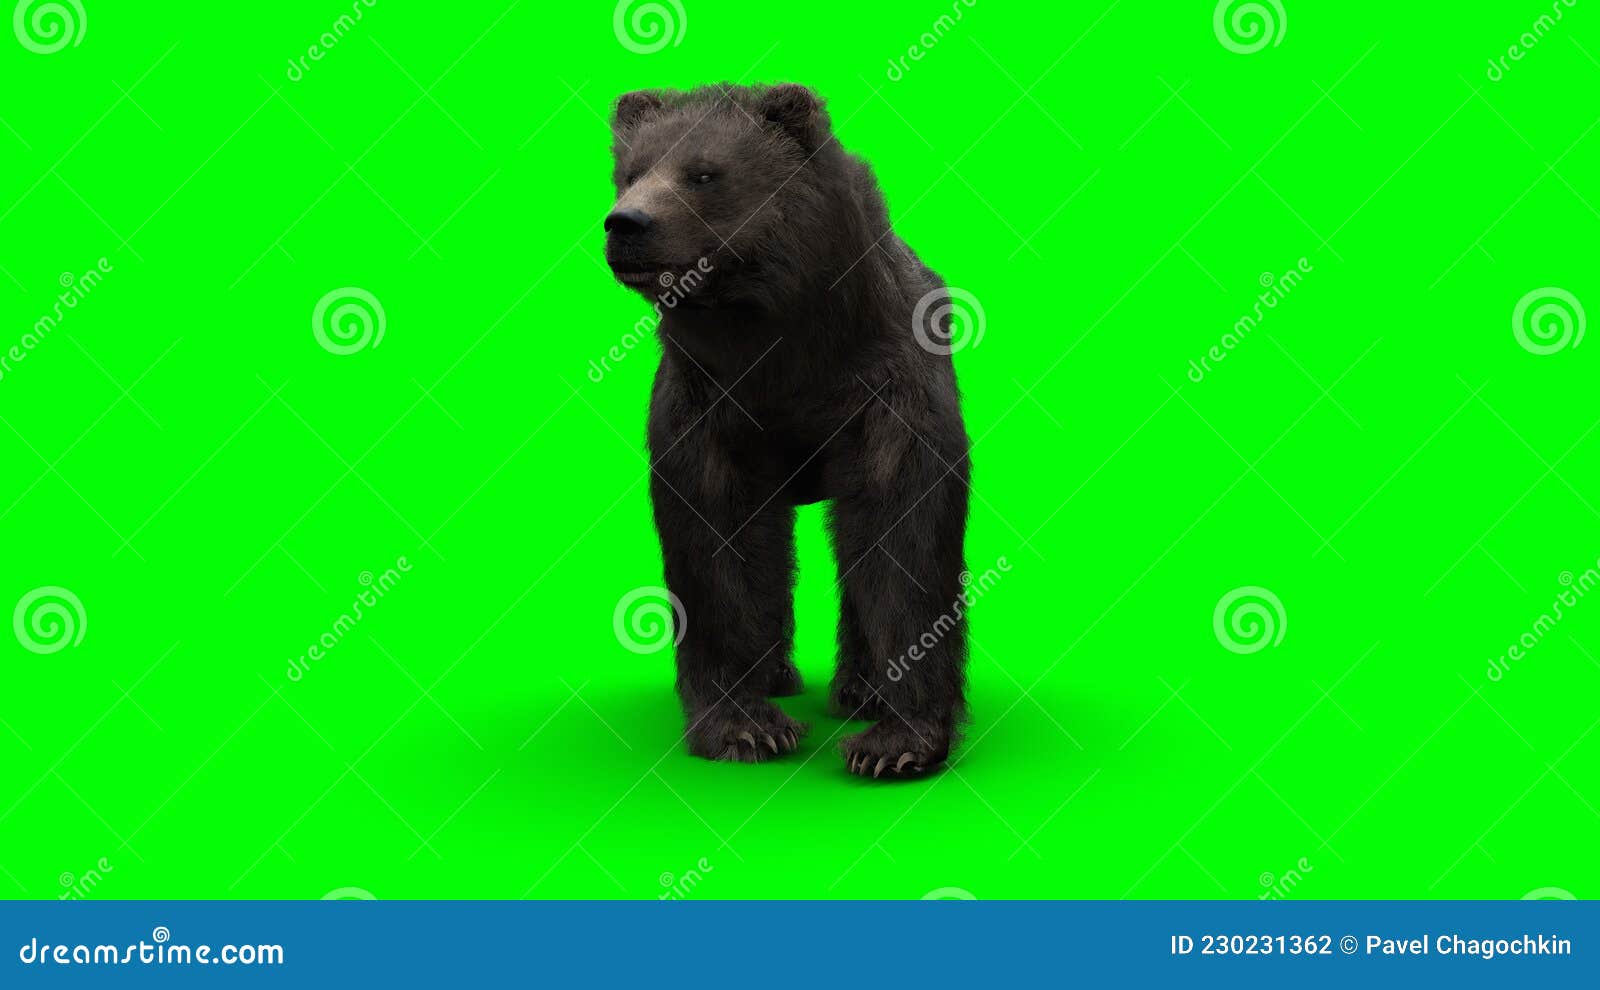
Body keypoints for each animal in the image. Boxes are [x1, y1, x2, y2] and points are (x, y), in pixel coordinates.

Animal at [603, 82, 971, 778]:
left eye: (702, 173)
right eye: (630, 172)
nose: (626, 224)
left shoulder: (885, 386)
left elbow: (899, 529)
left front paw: (894, 744)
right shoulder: (708, 401)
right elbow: (718, 538)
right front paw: (746, 728)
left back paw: (859, 691)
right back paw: (777, 679)